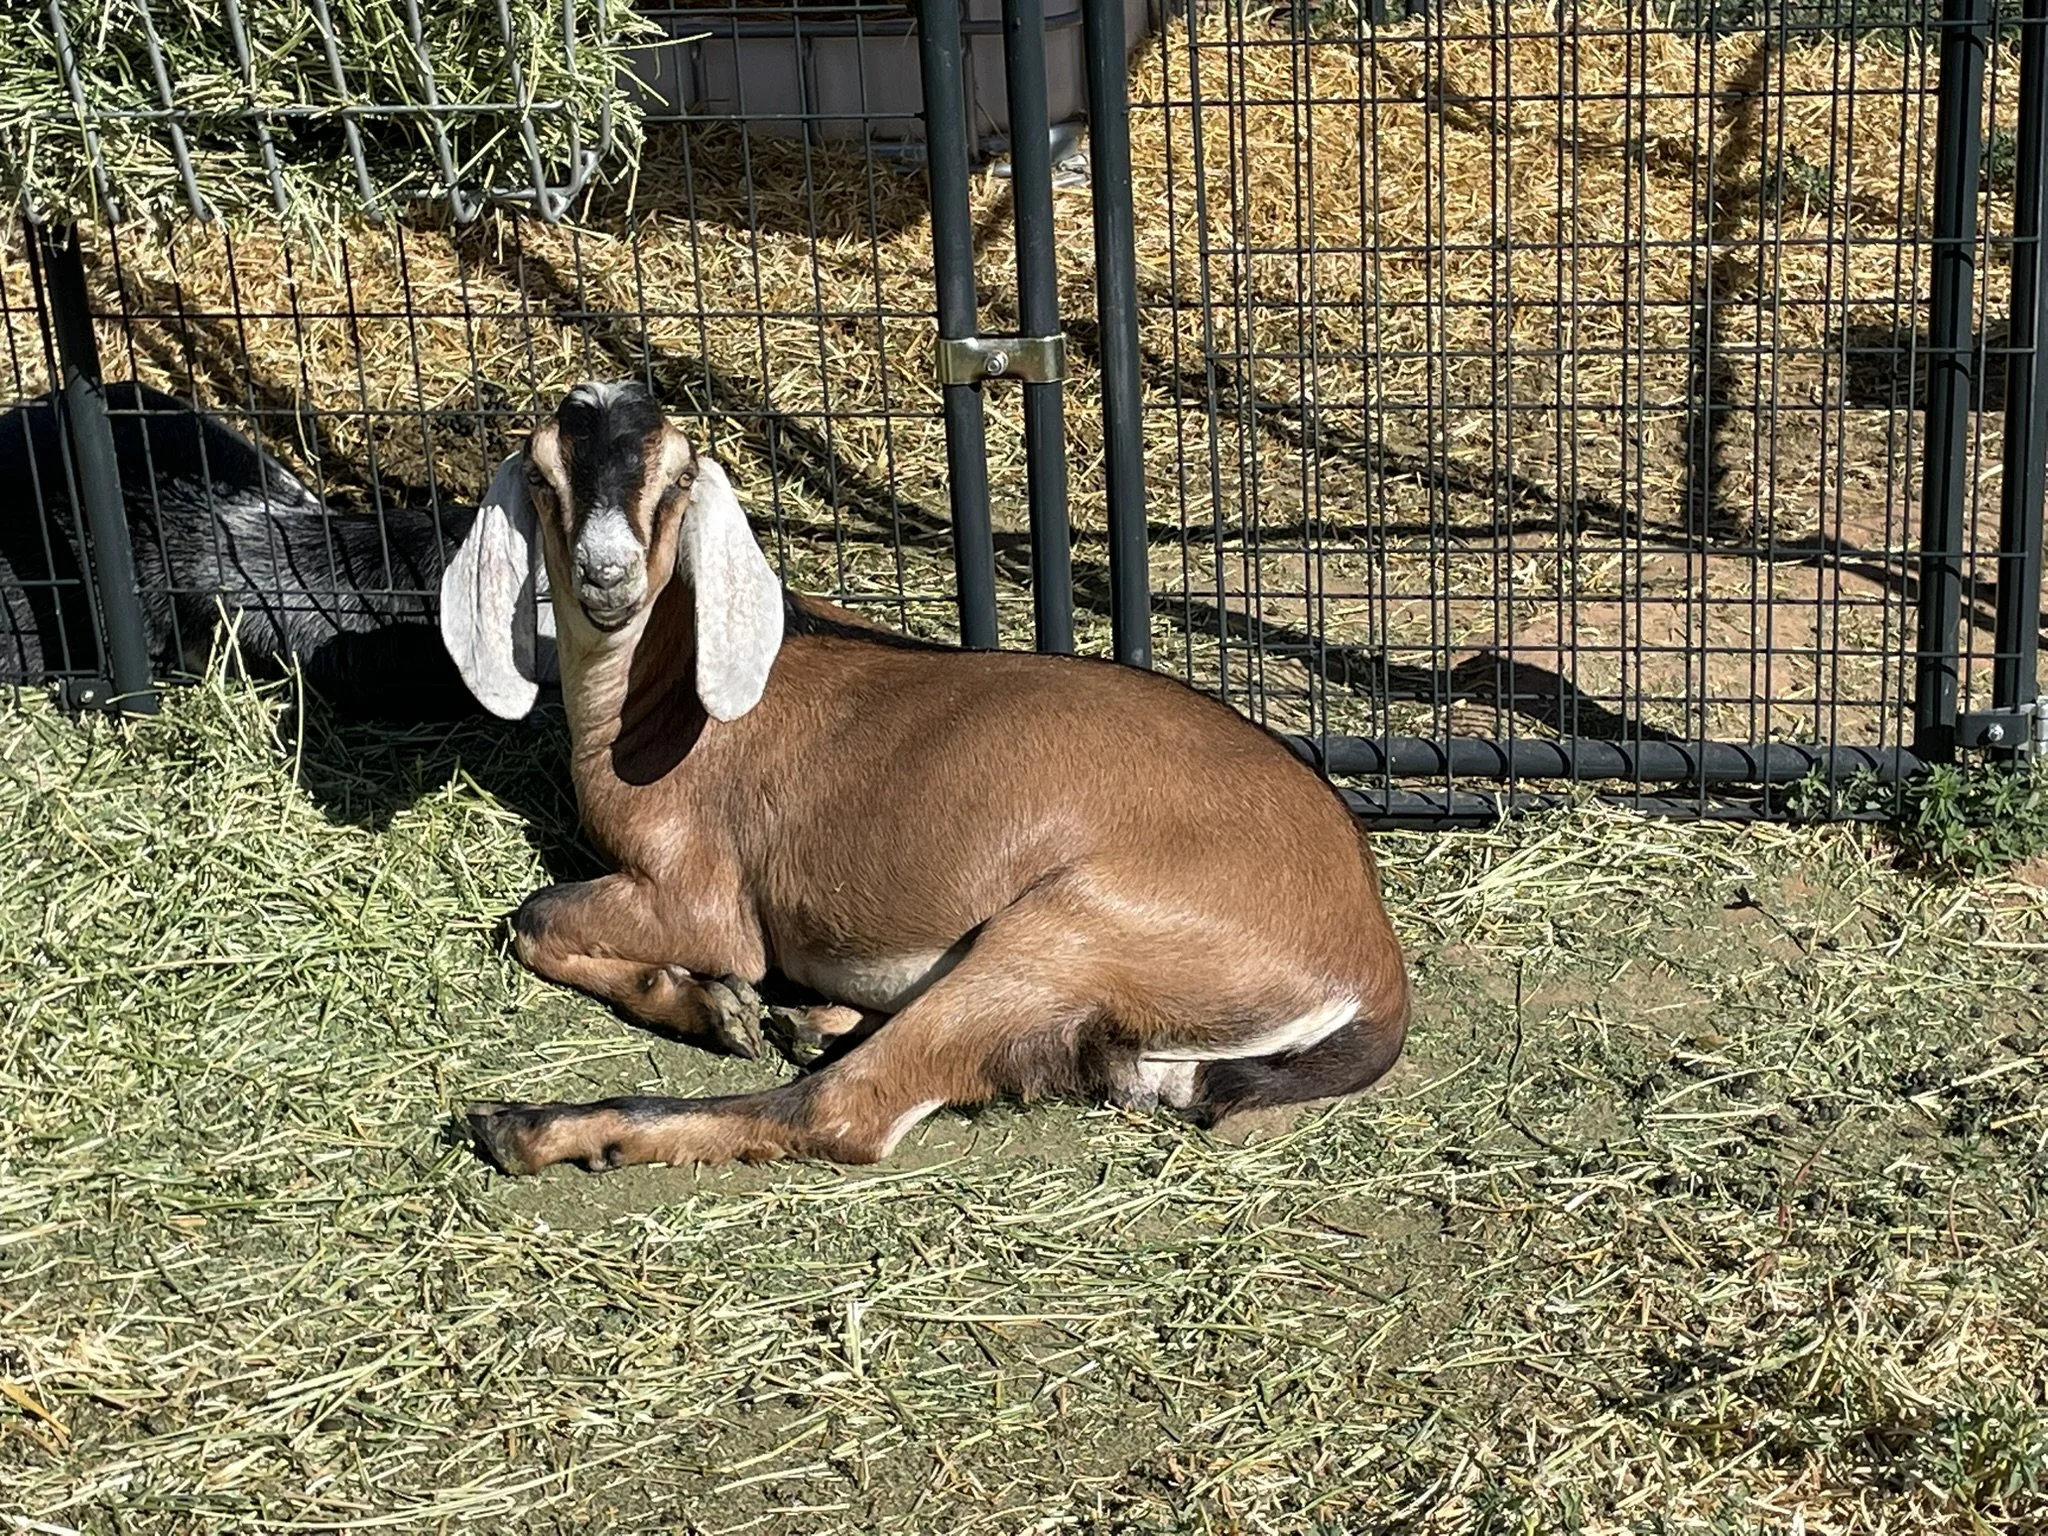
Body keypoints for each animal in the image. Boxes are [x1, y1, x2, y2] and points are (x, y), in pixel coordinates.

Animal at [451, 381, 1409, 1174]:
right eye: (542, 474)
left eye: (679, 476)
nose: (606, 576)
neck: (657, 702)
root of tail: (1372, 962)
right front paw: (712, 1005)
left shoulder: (702, 900)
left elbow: (534, 917)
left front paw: (712, 1006)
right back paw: (809, 1022)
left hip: (1062, 933)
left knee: (843, 1111)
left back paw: (536, 1126)